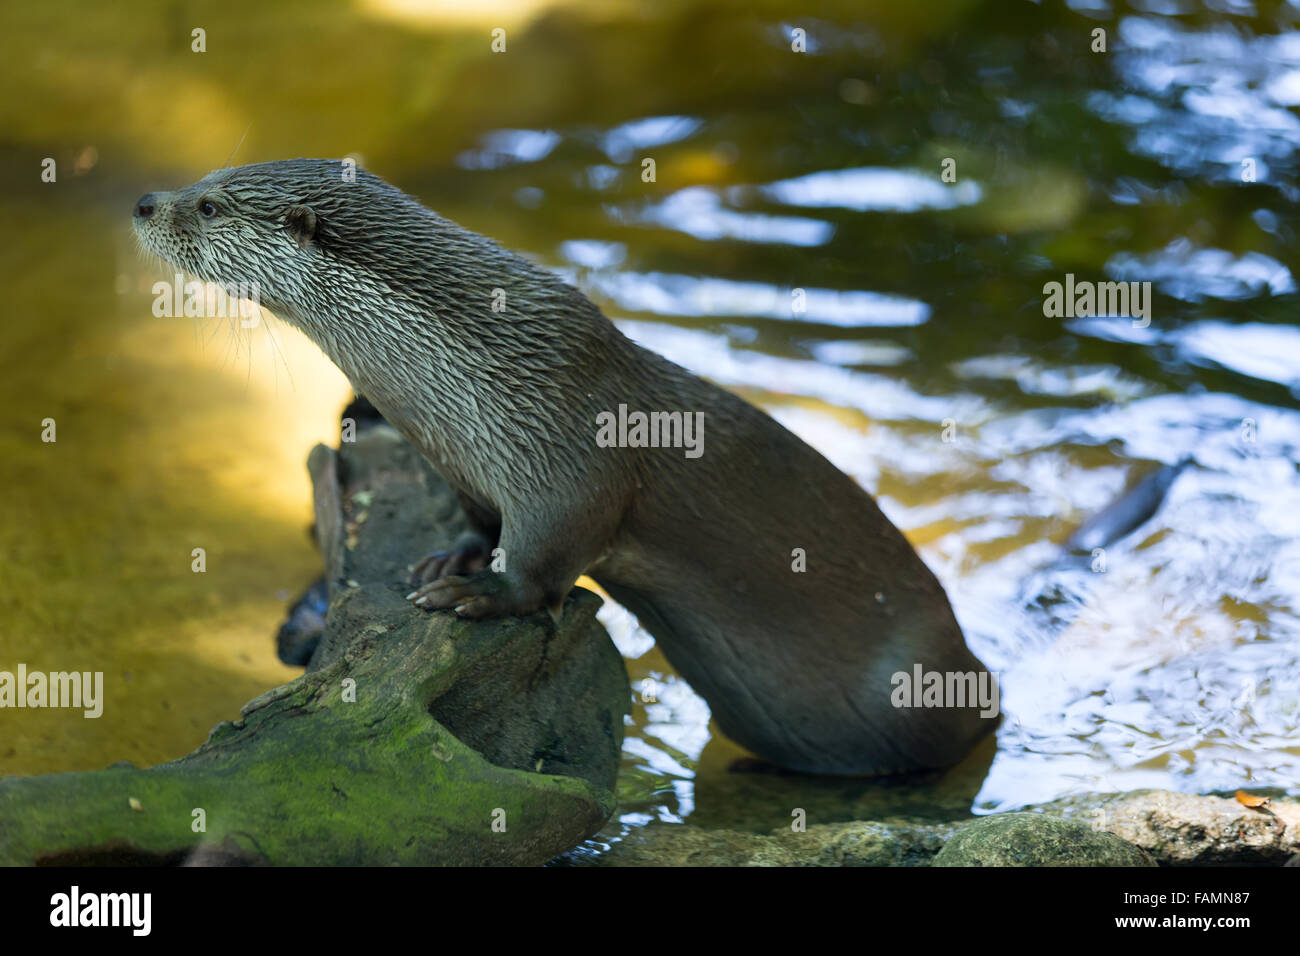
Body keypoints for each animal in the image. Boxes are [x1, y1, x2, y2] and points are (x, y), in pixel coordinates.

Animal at [132, 158, 996, 775]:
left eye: (209, 206)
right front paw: (453, 558)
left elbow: (550, 564)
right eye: (203, 179)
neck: (465, 369)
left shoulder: (567, 459)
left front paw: (478, 595)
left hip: (912, 681)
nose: (143, 202)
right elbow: (482, 523)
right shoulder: (468, 461)